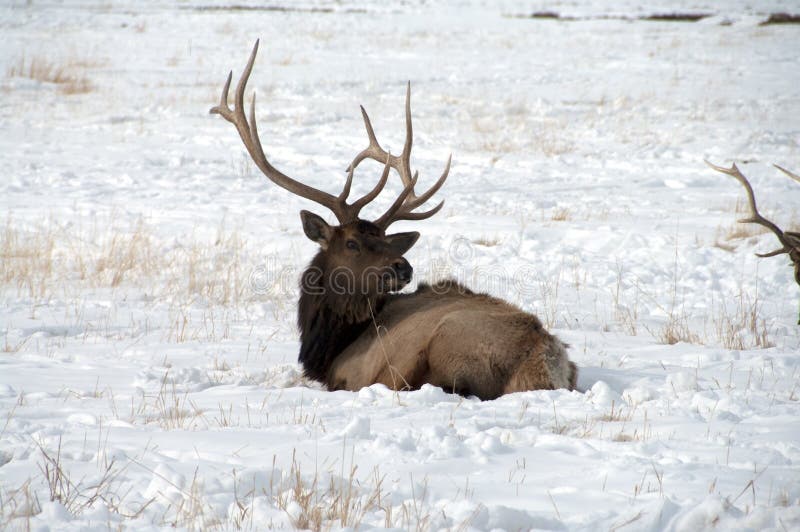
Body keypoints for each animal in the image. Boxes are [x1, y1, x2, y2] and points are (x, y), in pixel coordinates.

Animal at [211, 41, 577, 400]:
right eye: (352, 242)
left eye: (385, 241)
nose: (403, 267)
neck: (332, 343)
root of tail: (544, 363)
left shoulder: (351, 372)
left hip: (444, 342)